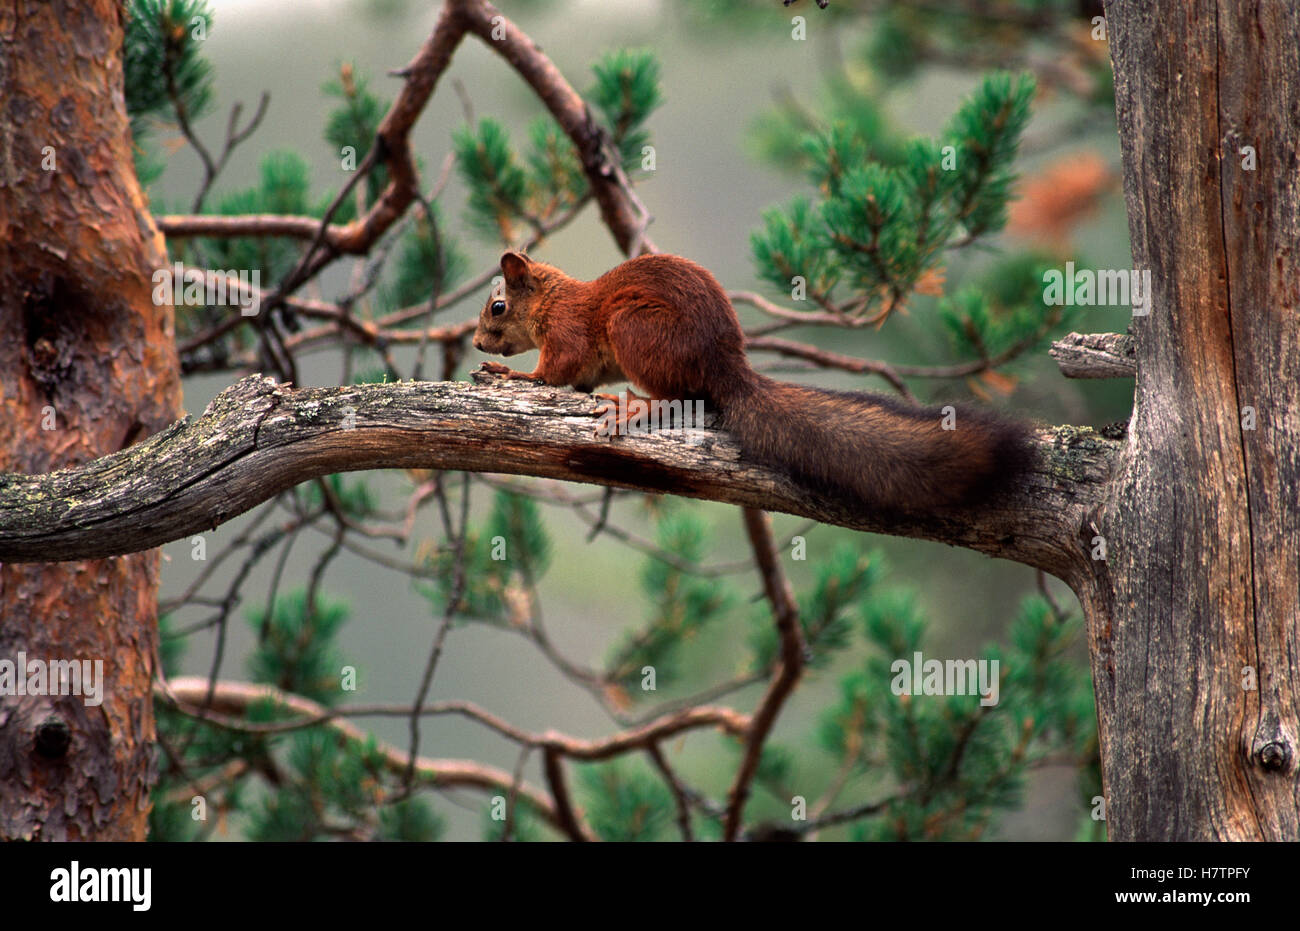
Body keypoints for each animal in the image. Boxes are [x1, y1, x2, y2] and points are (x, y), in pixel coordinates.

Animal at [472, 251, 1032, 515]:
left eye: (497, 307)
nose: (476, 343)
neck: (553, 301)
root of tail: (728, 369)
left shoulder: (568, 335)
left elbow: (551, 373)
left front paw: (510, 372)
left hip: (635, 328)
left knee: (681, 398)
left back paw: (638, 408)